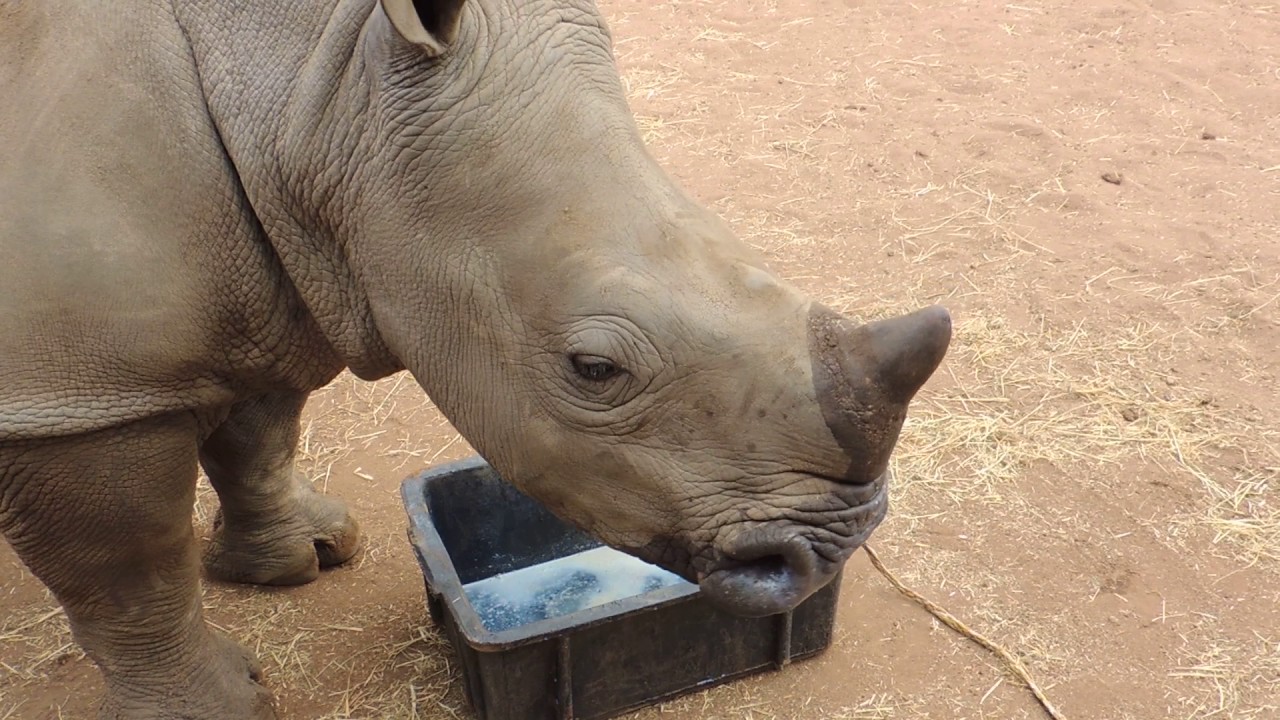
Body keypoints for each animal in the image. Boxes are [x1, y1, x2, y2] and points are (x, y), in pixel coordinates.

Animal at [0, 1, 951, 717]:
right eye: (594, 369)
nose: (837, 543)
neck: (321, 92)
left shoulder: (281, 258)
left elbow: (263, 430)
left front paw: (305, 558)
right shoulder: (78, 395)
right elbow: (130, 565)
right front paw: (223, 706)